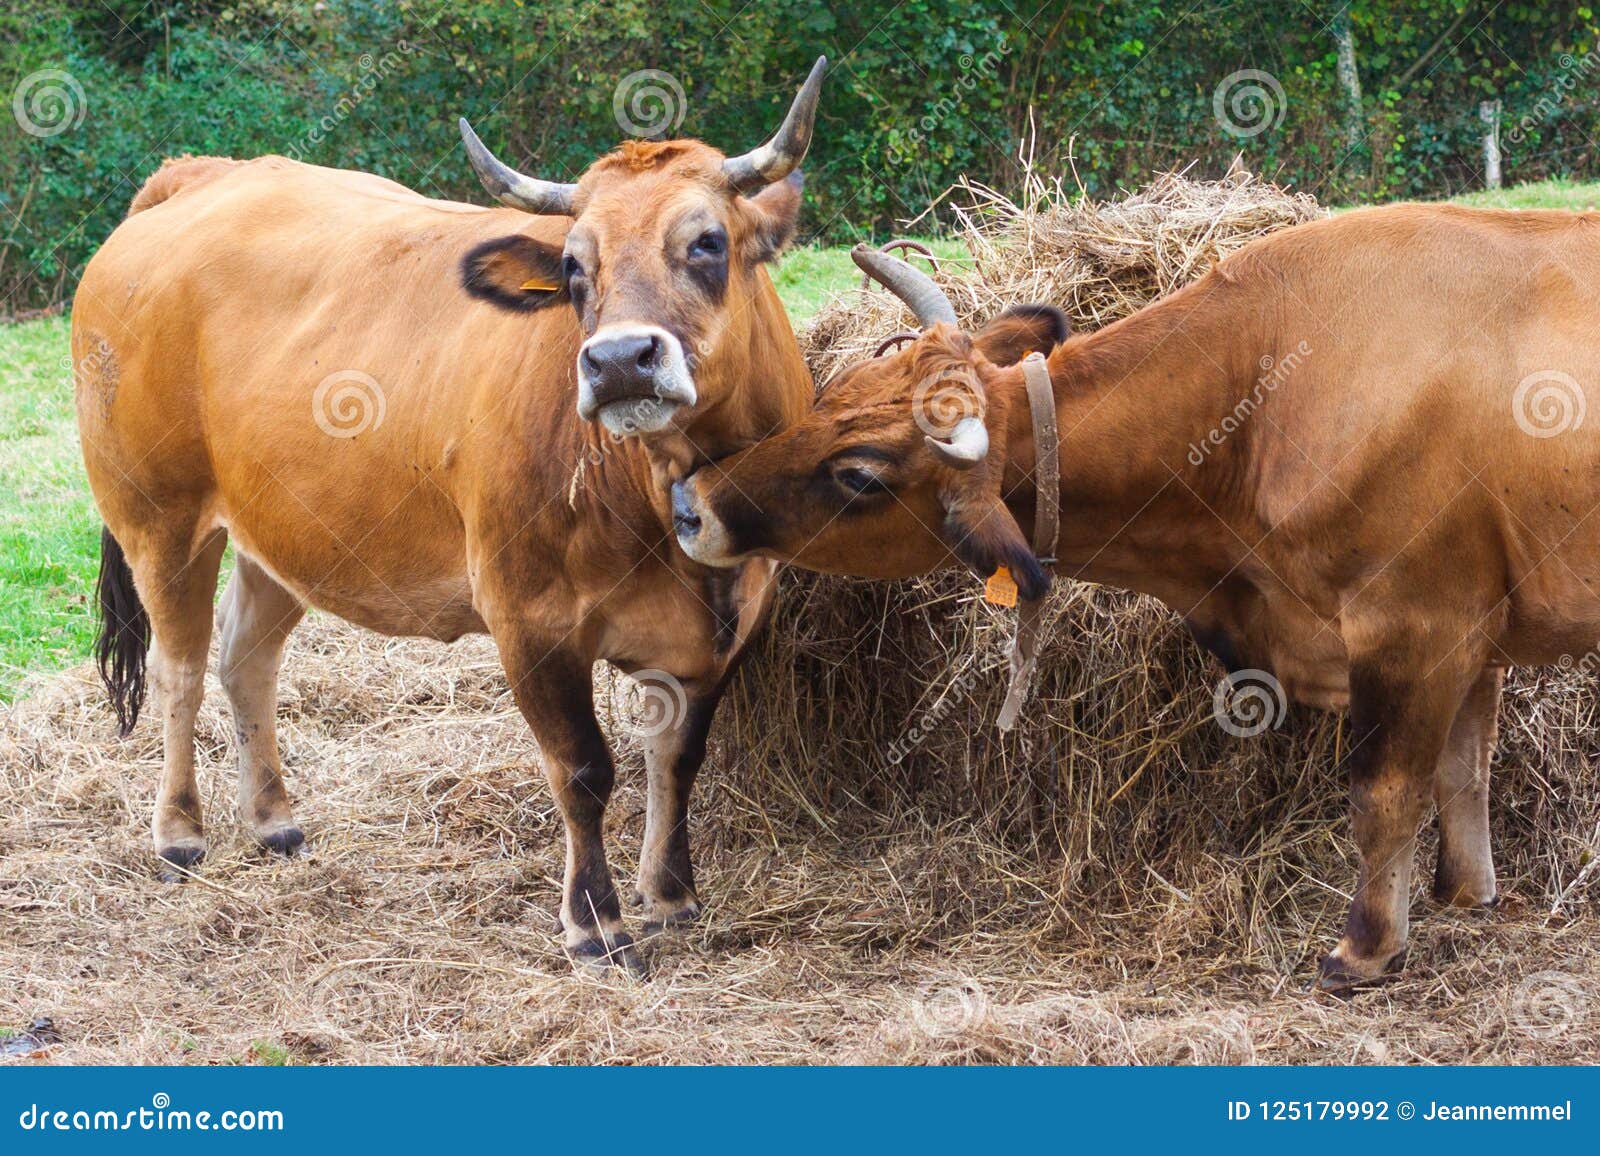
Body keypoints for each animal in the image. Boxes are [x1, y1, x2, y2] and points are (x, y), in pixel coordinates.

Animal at [74, 59, 827, 976]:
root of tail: (202, 176)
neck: (666, 503)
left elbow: (678, 758)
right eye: (574, 268)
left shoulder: (730, 620)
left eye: (708, 242)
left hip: (284, 532)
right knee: (178, 667)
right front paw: (596, 923)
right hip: (160, 521)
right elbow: (583, 770)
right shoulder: (528, 621)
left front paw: (672, 896)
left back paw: (275, 821)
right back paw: (180, 833)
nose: (619, 360)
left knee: (243, 657)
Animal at [671, 207, 1600, 990]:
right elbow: (1462, 774)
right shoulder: (1475, 633)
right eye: (833, 395)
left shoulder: (1411, 621)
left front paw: (1364, 950)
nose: (691, 504)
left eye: (859, 475)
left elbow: (1386, 791)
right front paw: (1466, 897)